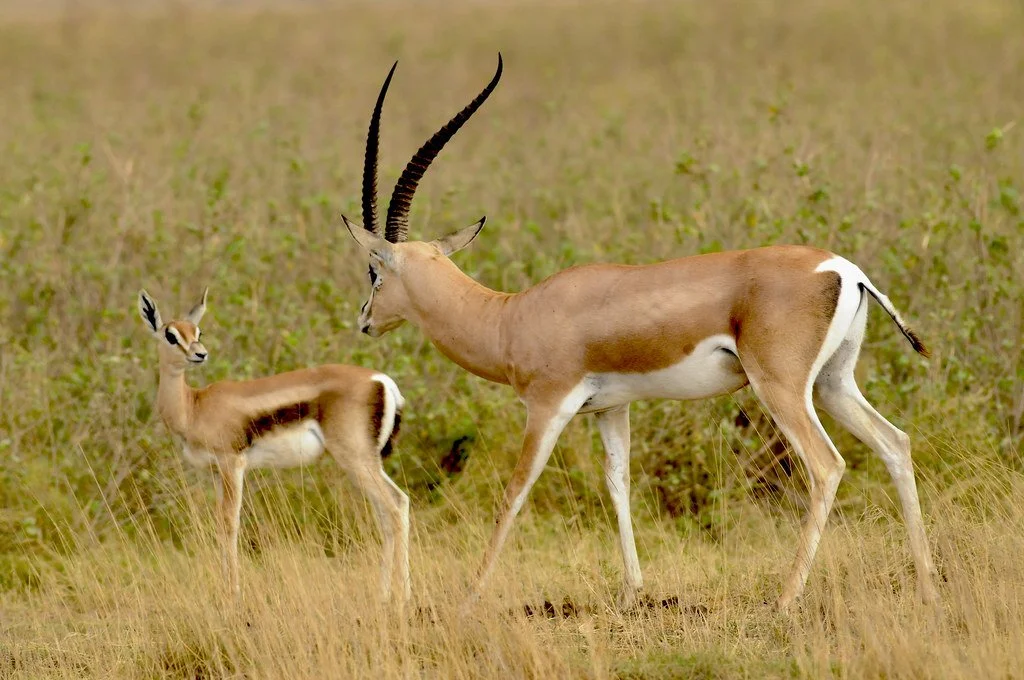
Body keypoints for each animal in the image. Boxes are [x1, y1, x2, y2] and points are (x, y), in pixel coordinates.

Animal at [137, 287, 411, 604]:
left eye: (197, 331)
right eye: (171, 335)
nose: (200, 354)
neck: (193, 406)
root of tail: (382, 381)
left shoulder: (233, 464)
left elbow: (230, 523)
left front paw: (234, 594)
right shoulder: (216, 472)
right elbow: (221, 524)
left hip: (356, 460)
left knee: (394, 505)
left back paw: (401, 596)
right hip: (367, 462)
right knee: (391, 509)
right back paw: (383, 594)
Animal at [341, 55, 940, 610]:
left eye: (374, 269)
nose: (365, 320)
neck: (511, 316)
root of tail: (845, 269)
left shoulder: (547, 407)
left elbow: (515, 490)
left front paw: (470, 597)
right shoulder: (611, 408)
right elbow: (619, 484)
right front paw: (633, 591)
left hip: (782, 389)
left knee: (826, 466)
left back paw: (786, 598)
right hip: (832, 383)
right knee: (895, 443)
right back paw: (927, 585)